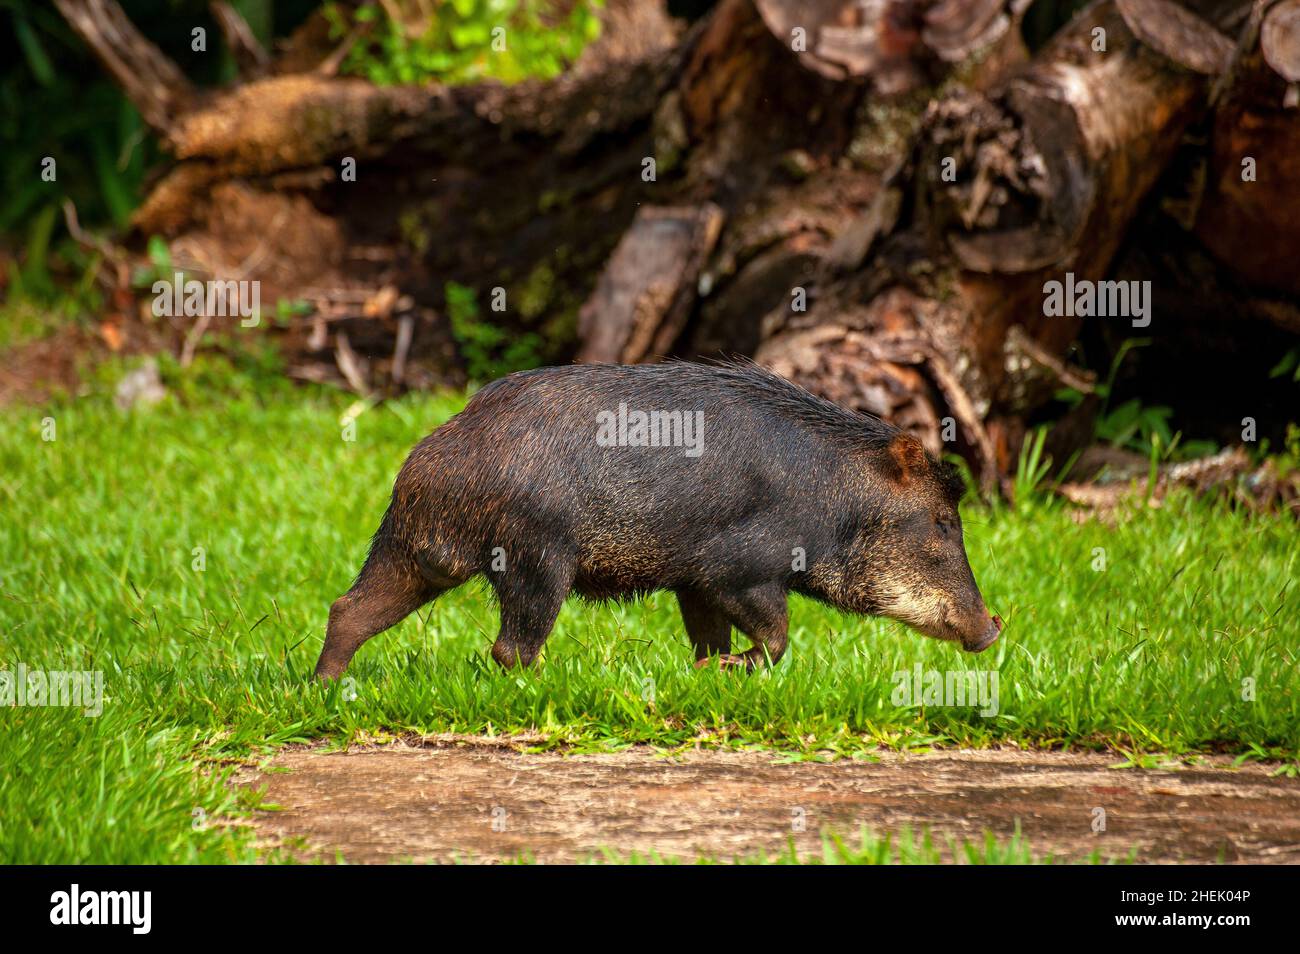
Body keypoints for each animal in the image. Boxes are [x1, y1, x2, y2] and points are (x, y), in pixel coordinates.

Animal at [314, 361, 1002, 679]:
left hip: (419, 552)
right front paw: (726, 670)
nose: (993, 630)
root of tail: (439, 456)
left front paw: (706, 673)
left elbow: (713, 640)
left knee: (349, 609)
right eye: (943, 524)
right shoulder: (739, 571)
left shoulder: (694, 585)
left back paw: (324, 688)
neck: (834, 500)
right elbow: (776, 640)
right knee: (511, 648)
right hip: (538, 560)